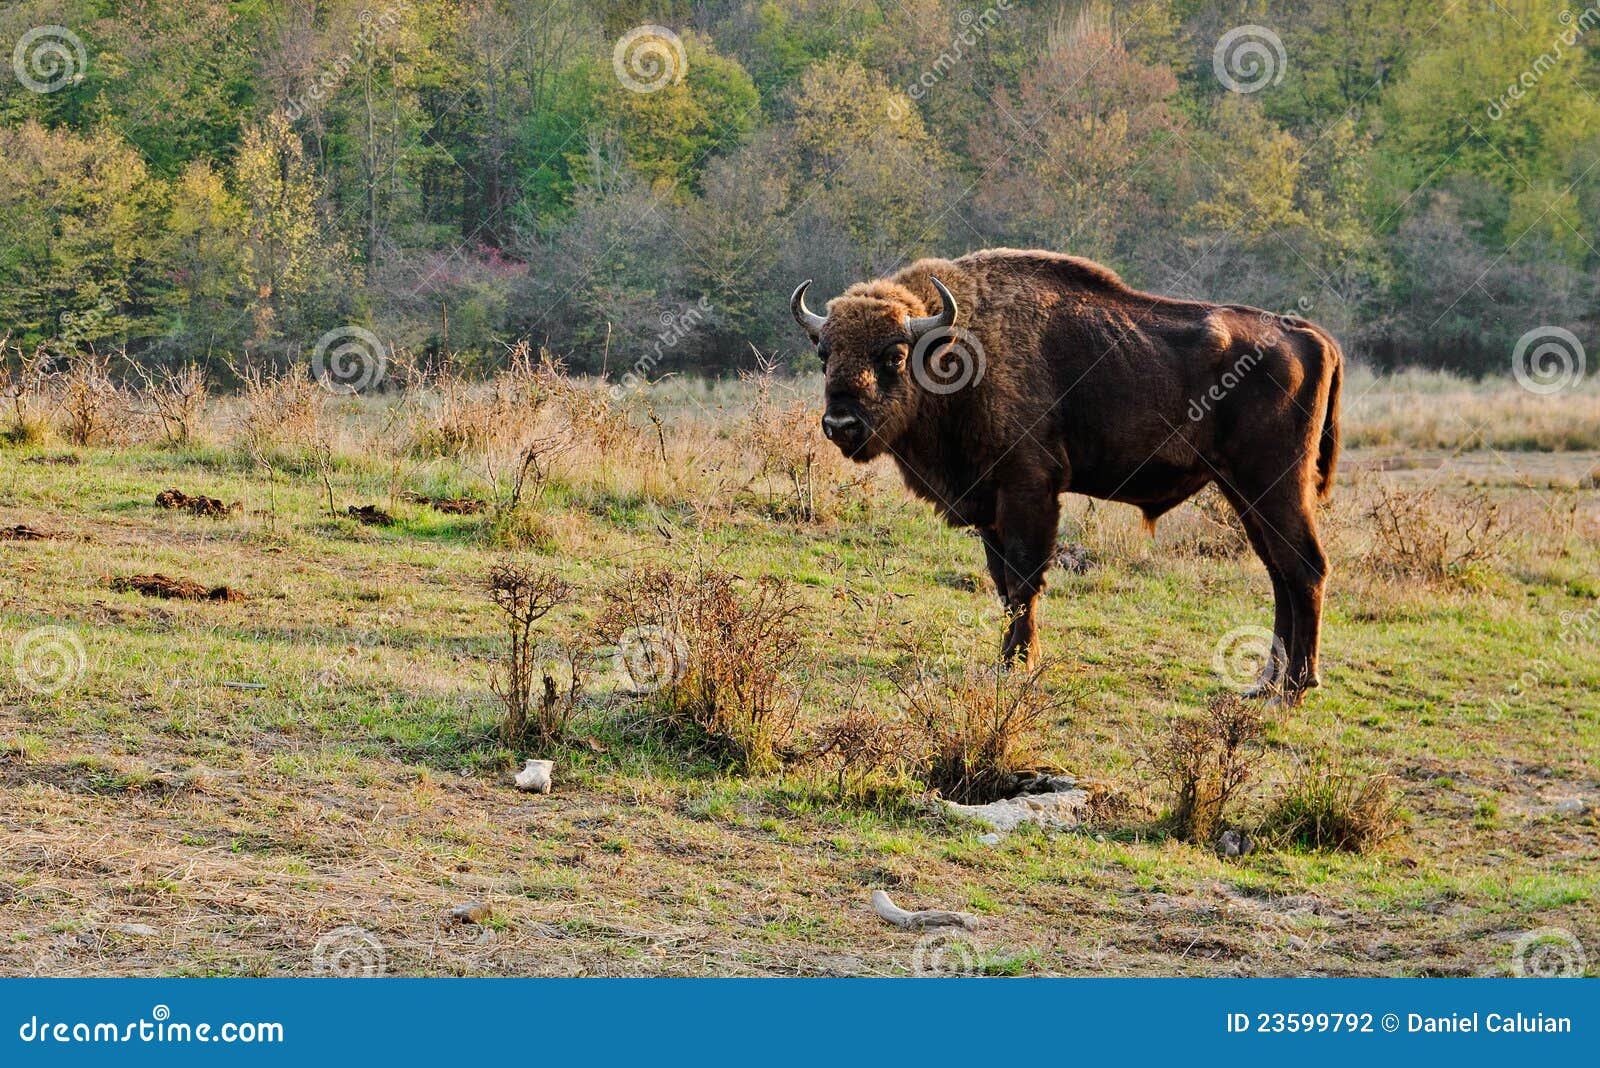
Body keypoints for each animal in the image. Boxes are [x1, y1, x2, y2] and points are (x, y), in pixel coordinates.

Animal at [791, 248, 1342, 700]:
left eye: (893, 356)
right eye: (824, 355)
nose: (840, 423)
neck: (955, 346)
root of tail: (1311, 336)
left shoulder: (1028, 490)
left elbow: (1023, 581)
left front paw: (1019, 663)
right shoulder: (991, 504)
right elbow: (1002, 584)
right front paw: (1006, 660)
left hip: (1276, 487)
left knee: (1305, 568)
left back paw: (1292, 690)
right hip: (1244, 493)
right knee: (1280, 573)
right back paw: (1263, 684)